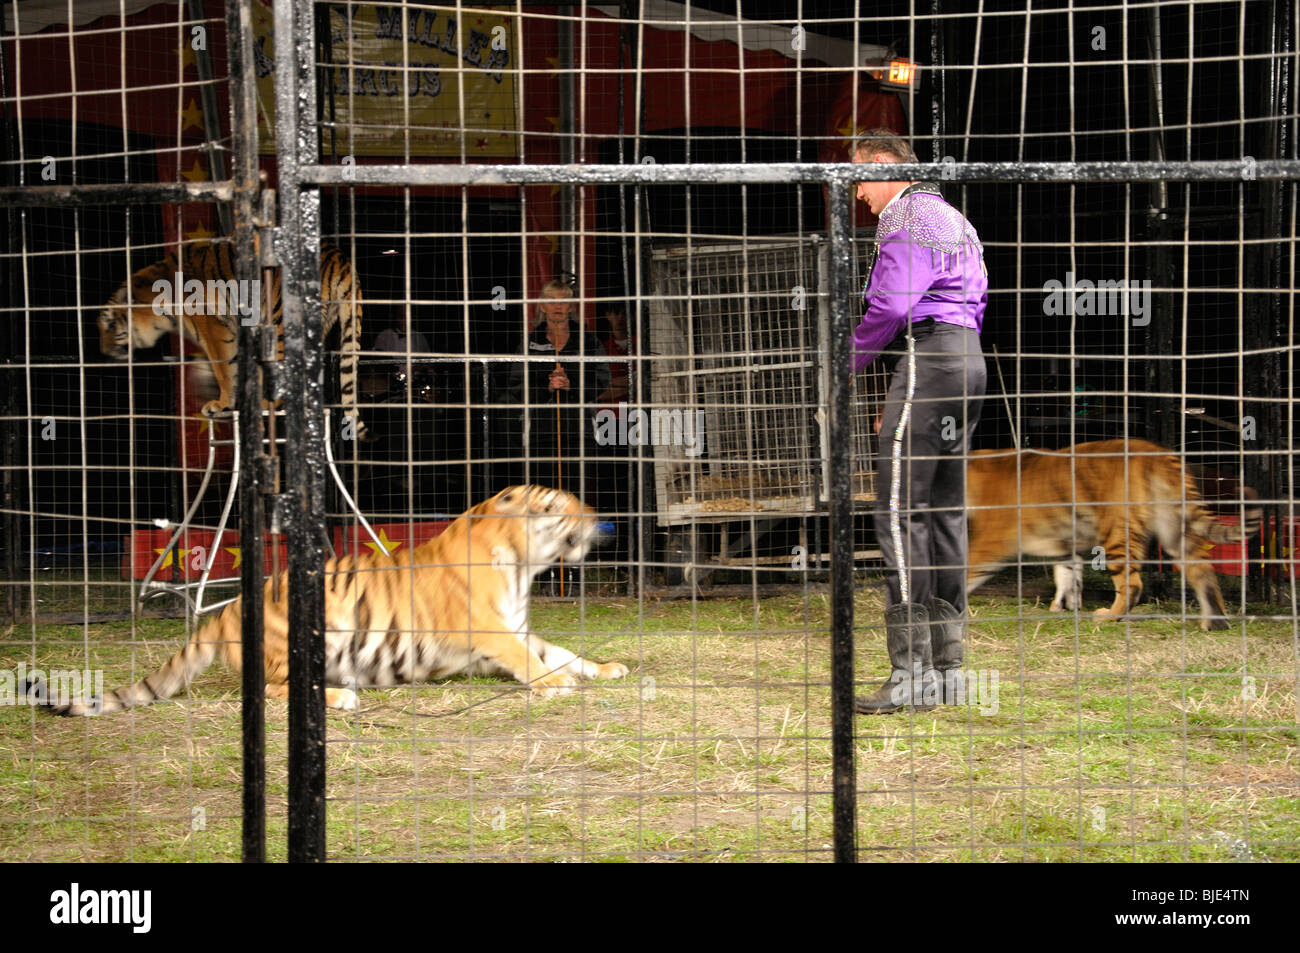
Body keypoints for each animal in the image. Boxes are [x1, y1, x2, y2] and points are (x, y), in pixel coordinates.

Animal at [42, 486, 628, 716]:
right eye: (563, 507)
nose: (603, 519)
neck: (524, 563)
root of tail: (226, 612)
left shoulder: (517, 628)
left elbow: (562, 653)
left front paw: (605, 668)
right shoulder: (490, 630)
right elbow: (531, 660)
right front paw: (553, 683)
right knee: (270, 692)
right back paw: (342, 698)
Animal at [95, 241, 369, 441]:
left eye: (110, 326)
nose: (103, 352)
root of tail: (339, 257)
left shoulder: (213, 326)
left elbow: (224, 368)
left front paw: (222, 403)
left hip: (281, 323)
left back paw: (266, 403)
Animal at [965, 439, 1256, 631]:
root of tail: (1158, 453)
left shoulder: (991, 543)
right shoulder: (1066, 544)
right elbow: (1068, 575)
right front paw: (1066, 606)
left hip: (1118, 533)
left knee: (1133, 584)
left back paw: (1109, 616)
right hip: (1176, 526)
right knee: (1203, 573)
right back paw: (1215, 622)